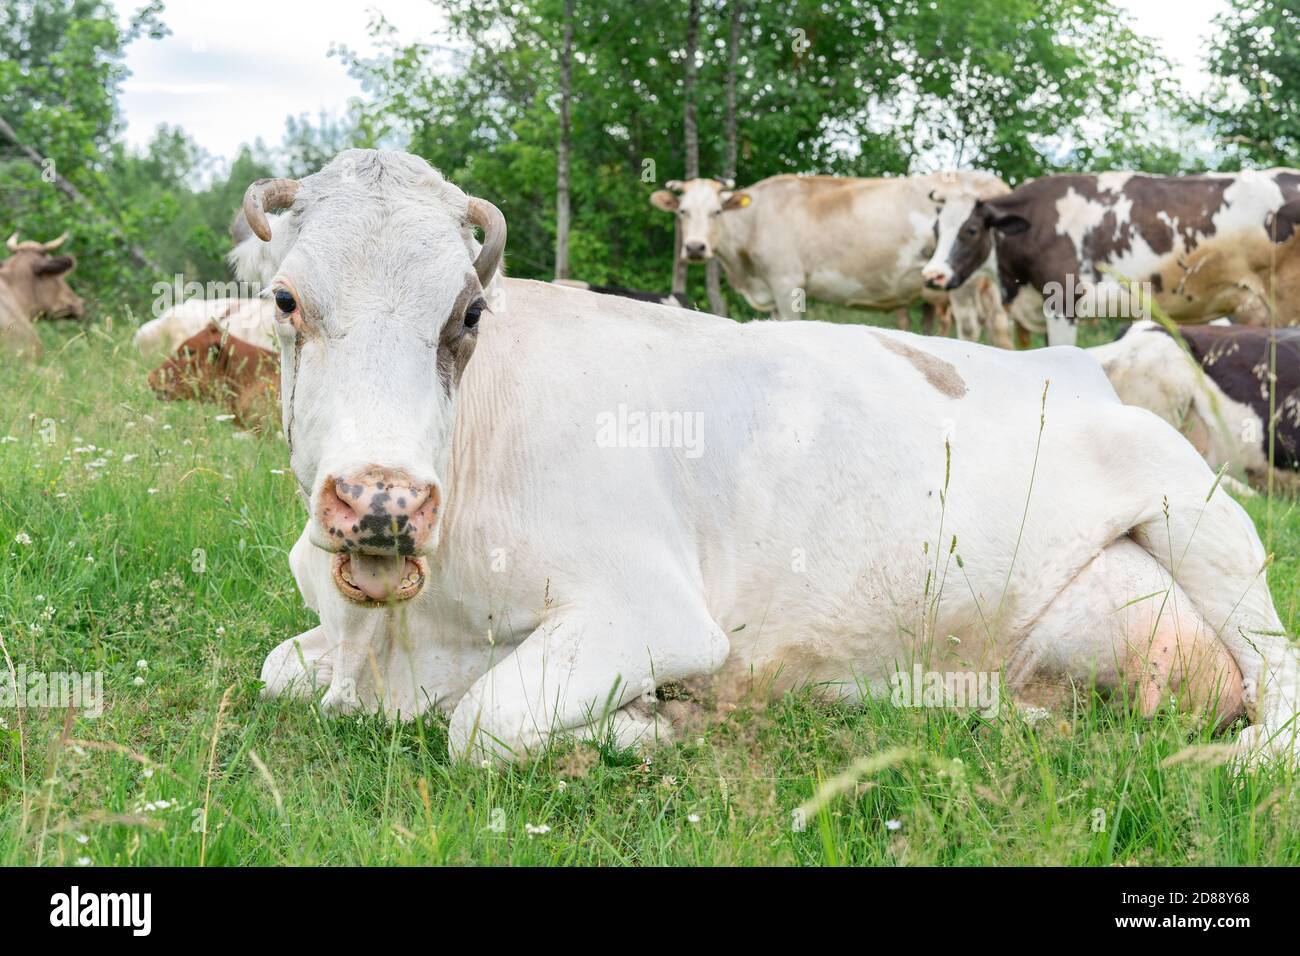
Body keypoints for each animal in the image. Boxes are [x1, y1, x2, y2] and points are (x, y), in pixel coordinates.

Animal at [648, 172, 1015, 347]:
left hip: (962, 284)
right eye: (682, 212)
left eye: (716, 211)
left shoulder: (787, 282)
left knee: (970, 327)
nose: (695, 247)